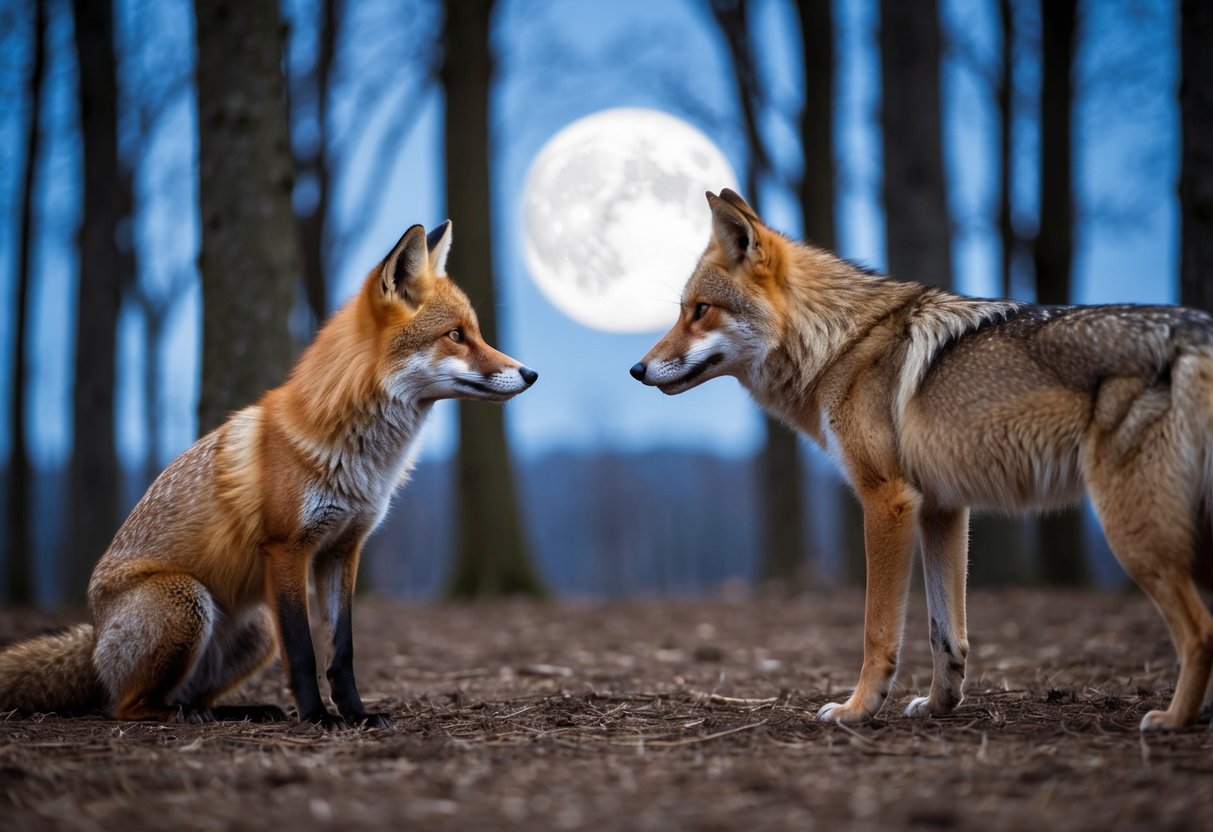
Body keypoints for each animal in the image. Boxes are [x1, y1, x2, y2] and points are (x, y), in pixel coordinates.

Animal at [0, 221, 537, 728]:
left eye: (477, 332)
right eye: (456, 335)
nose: (531, 374)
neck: (360, 456)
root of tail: (93, 637)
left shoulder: (343, 548)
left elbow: (342, 651)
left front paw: (357, 714)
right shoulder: (286, 548)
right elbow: (303, 649)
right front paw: (318, 718)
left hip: (256, 629)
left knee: (193, 694)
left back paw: (239, 711)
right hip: (187, 601)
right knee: (126, 705)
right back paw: (180, 715)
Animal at [632, 188, 1213, 731]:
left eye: (699, 310)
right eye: (684, 310)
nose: (637, 370)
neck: (838, 344)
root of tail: (1196, 332)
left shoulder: (887, 500)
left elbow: (878, 630)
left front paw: (856, 710)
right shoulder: (943, 509)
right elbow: (946, 635)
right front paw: (939, 706)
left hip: (1133, 533)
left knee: (1200, 630)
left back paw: (1172, 720)